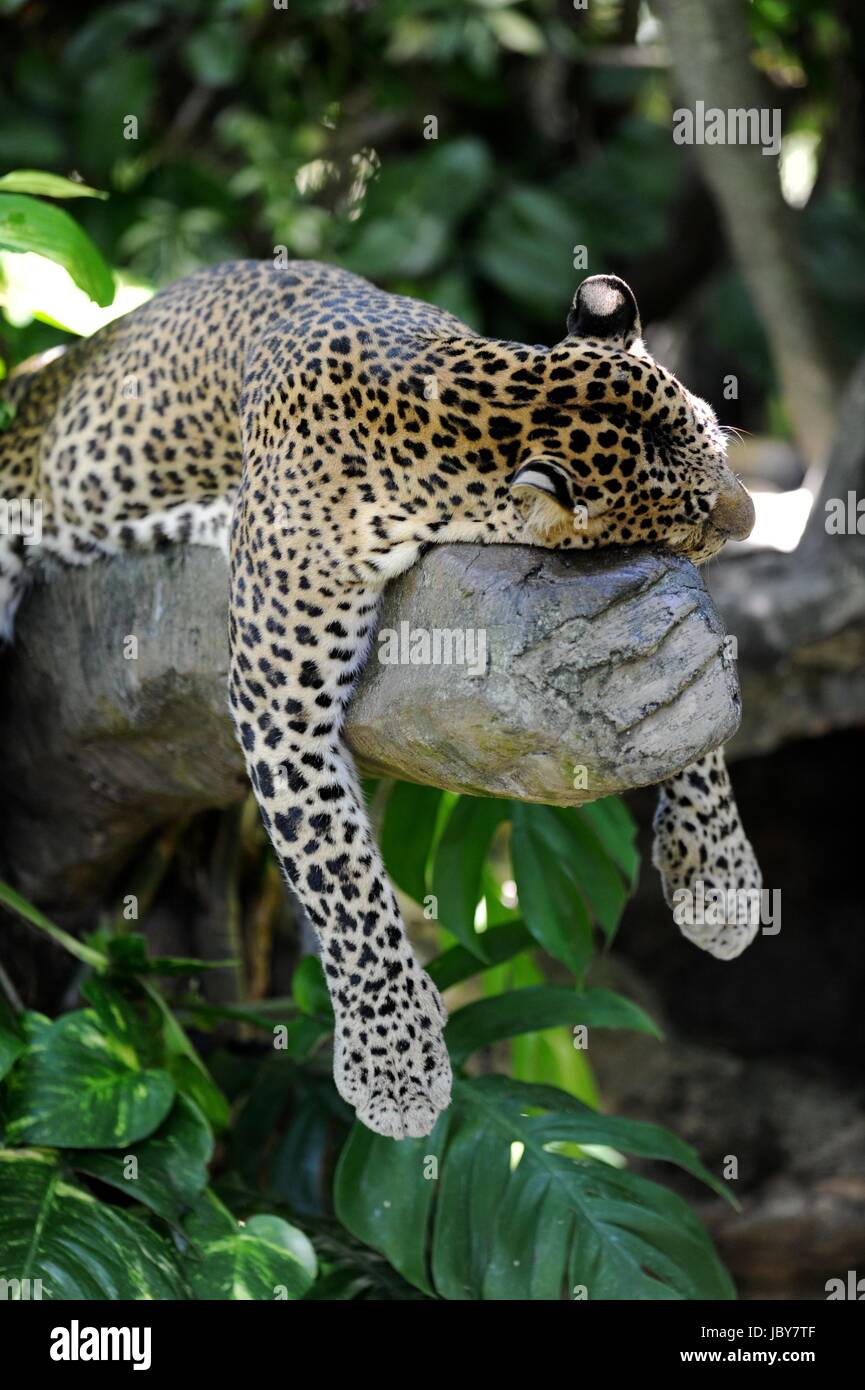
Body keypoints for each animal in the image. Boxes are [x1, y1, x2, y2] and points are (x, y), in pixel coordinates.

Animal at [0, 260, 761, 1139]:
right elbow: (338, 872)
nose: (747, 518)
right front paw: (393, 1063)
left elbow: (691, 711)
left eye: (715, 441)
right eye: (688, 507)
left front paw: (719, 875)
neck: (451, 405)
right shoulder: (279, 703)